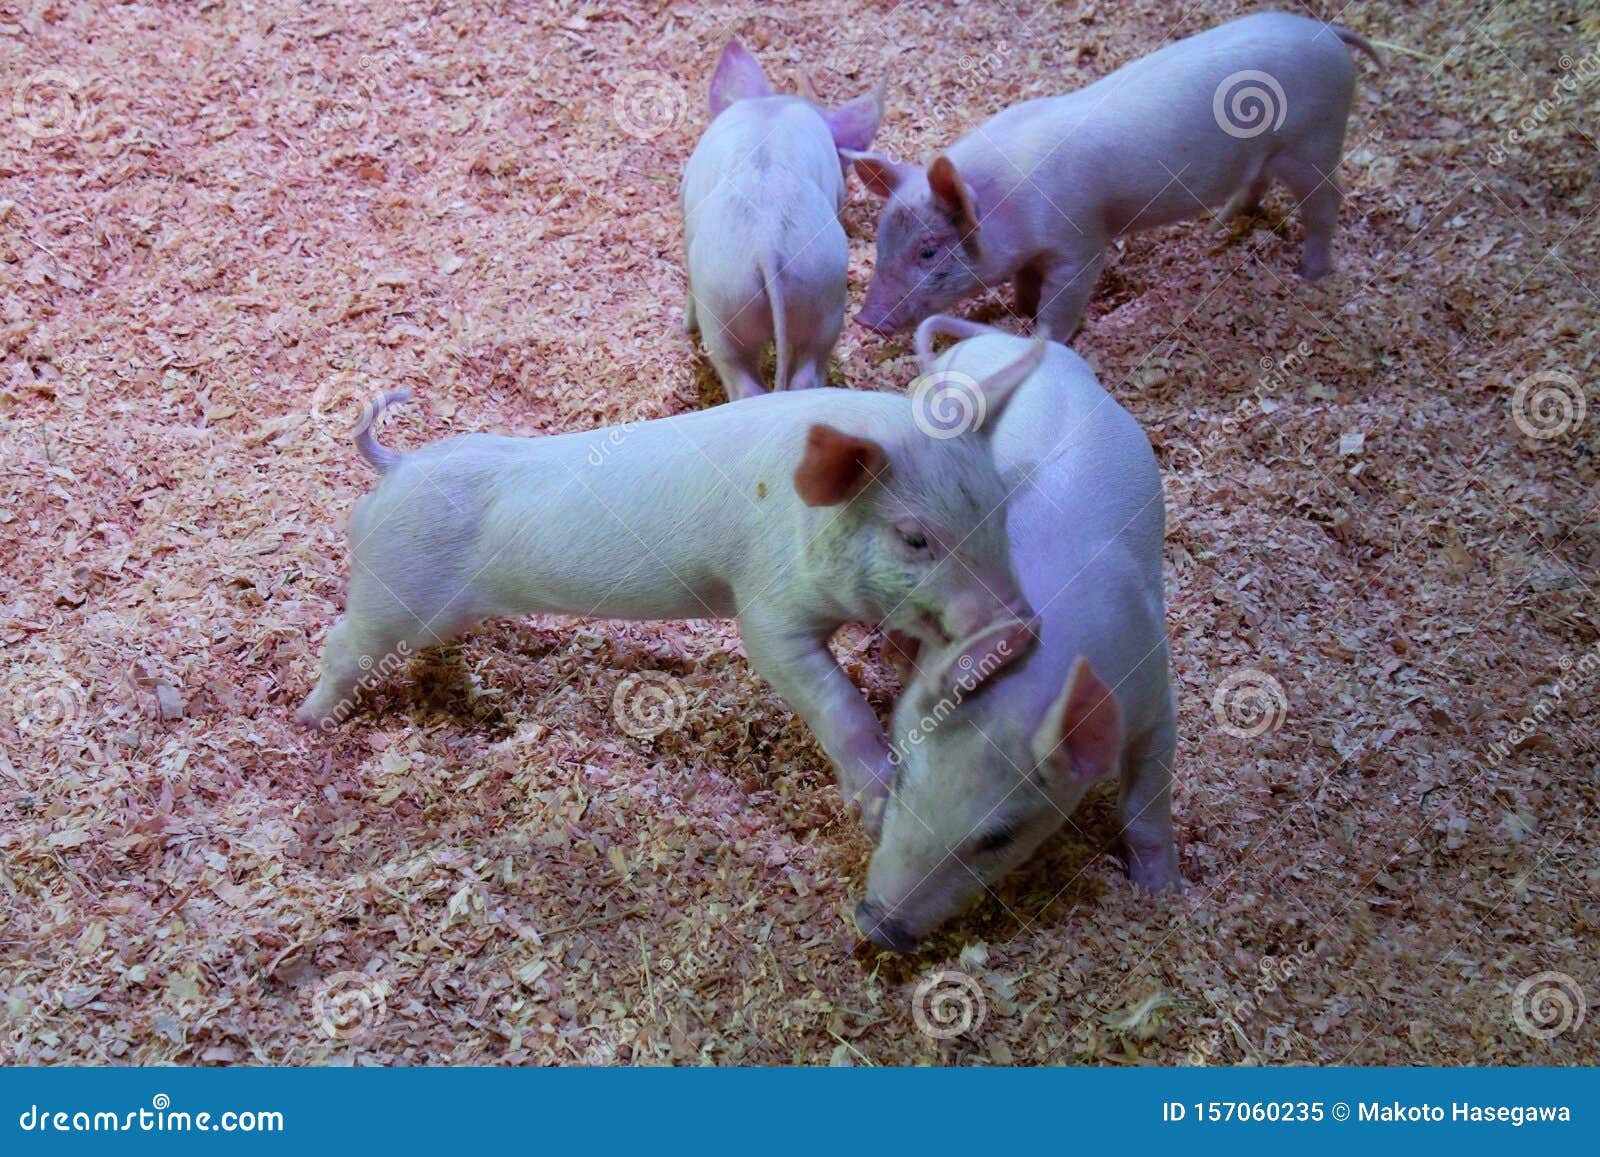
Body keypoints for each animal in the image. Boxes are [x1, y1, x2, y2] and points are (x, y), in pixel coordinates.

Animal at [298, 356, 1045, 829]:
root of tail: (395, 468)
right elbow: (827, 696)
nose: (1022, 626)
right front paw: (880, 807)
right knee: (340, 646)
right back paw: (306, 721)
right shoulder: (767, 604)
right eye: (915, 538)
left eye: (1000, 508)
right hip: (391, 588)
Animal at [683, 41, 884, 400]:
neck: (772, 108)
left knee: (742, 379)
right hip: (822, 298)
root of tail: (766, 241)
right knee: (806, 372)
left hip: (723, 308)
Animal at [844, 12, 1381, 338]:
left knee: (1327, 201)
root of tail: (1328, 33)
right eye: (880, 241)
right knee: (1256, 183)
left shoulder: (1081, 243)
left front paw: (1043, 336)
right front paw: (1020, 312)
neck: (1007, 204)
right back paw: (1220, 226)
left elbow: (1063, 302)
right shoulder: (1029, 254)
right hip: (1270, 152)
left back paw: (1311, 274)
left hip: (1313, 144)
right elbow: (1023, 285)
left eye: (929, 250)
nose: (867, 319)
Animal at [855, 316, 1180, 951]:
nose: (876, 925)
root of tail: (1009, 338)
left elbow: (1144, 805)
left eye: (998, 838)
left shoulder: (1156, 695)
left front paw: (1162, 893)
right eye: (902, 776)